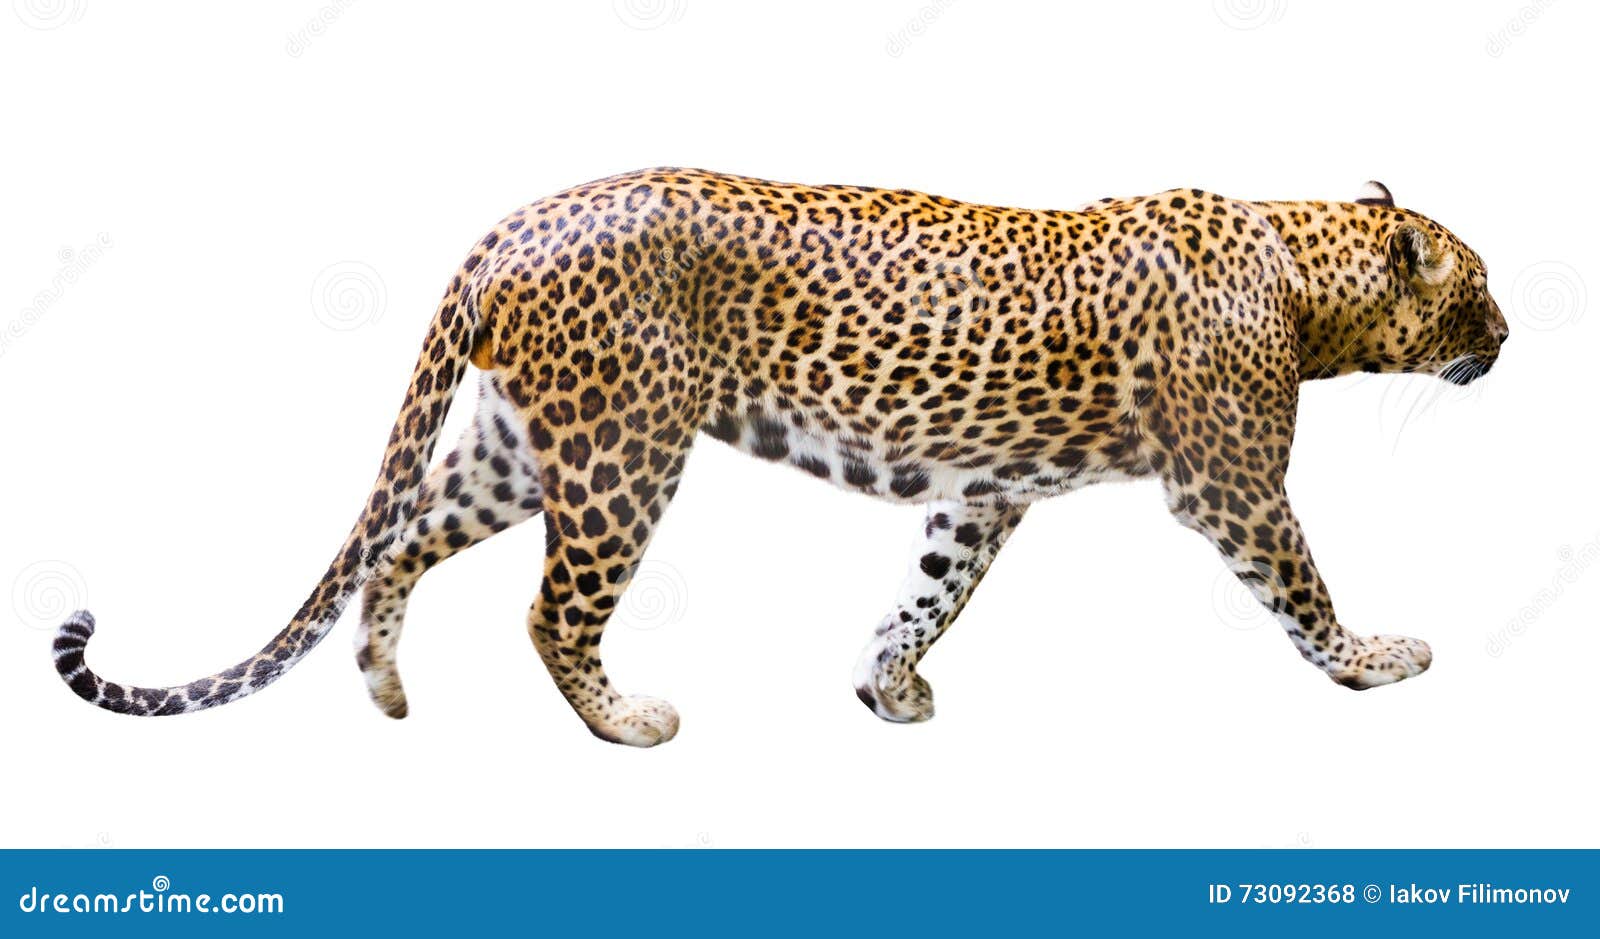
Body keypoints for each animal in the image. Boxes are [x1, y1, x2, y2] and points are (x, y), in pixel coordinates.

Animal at [52, 169, 1508, 747]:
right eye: (1481, 285)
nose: (1509, 330)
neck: (1305, 276)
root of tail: (514, 220)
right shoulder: (1235, 487)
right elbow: (1304, 585)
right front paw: (1374, 660)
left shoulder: (985, 495)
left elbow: (929, 593)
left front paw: (884, 685)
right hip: (620, 449)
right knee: (550, 608)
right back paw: (623, 722)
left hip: (521, 445)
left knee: (401, 542)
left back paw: (386, 687)